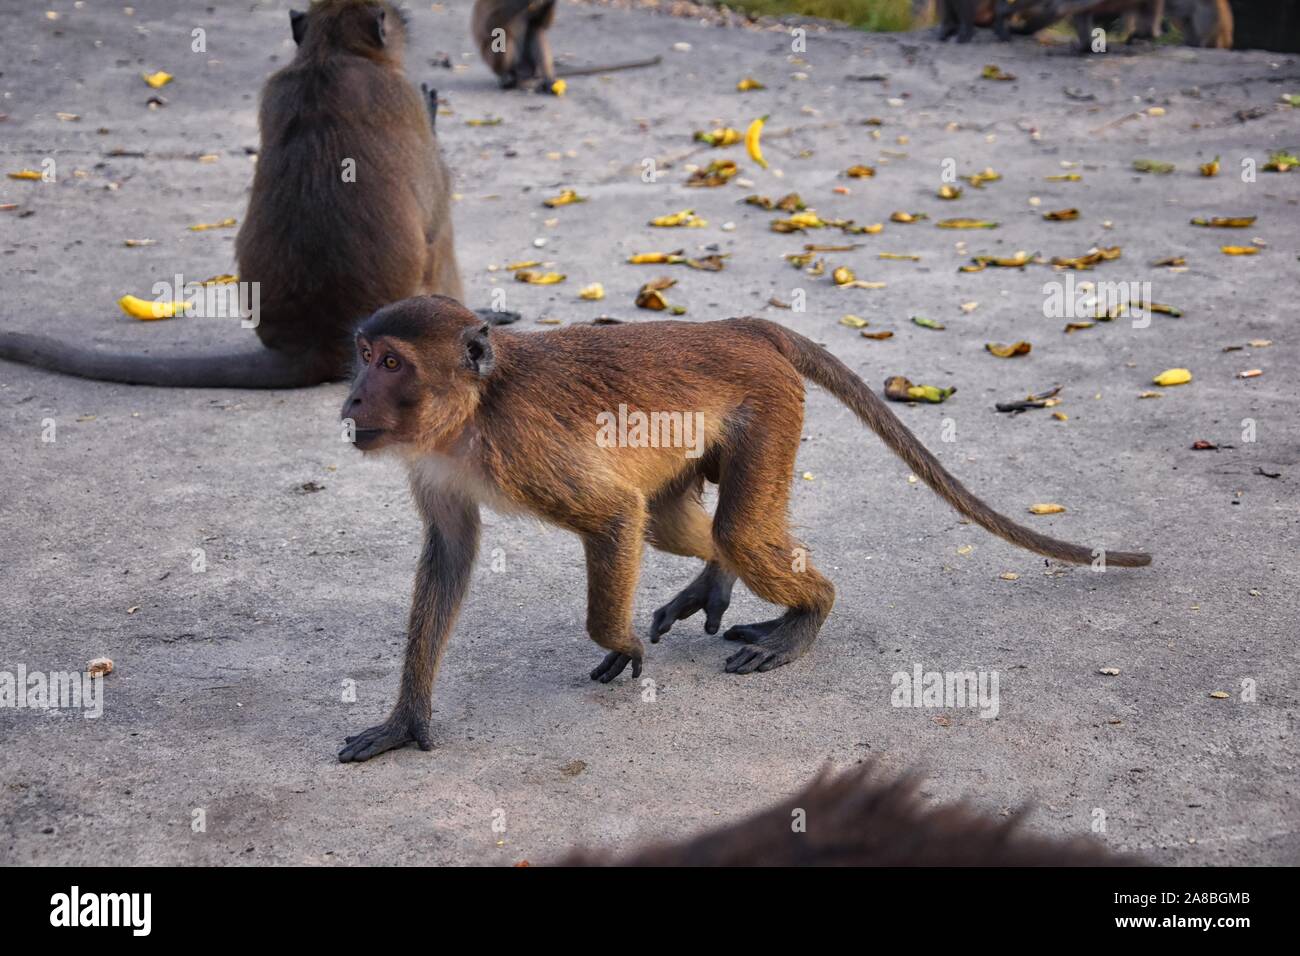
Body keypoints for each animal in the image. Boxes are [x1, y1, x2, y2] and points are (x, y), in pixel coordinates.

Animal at [335, 295, 1151, 762]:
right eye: (363, 357)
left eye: (390, 363)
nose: (350, 401)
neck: (470, 412)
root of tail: (737, 327)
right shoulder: (434, 464)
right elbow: (451, 554)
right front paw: (406, 718)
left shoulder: (521, 448)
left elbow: (613, 515)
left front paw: (618, 641)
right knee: (685, 523)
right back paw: (717, 578)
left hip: (769, 404)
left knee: (737, 531)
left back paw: (806, 617)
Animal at [471, 0, 662, 92]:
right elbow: (491, 26)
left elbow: (540, 23)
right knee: (503, 38)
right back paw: (507, 78)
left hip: (529, 68)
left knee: (535, 29)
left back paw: (546, 81)